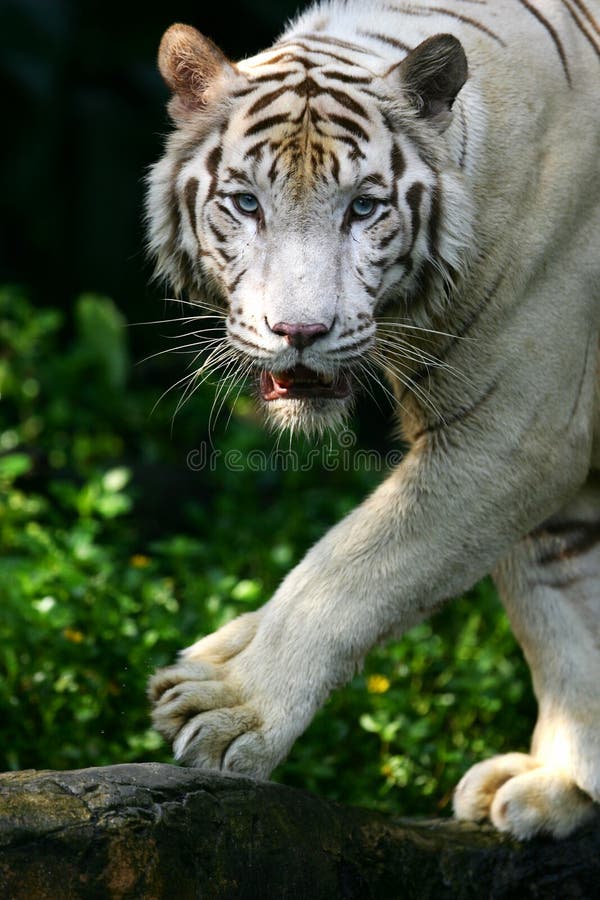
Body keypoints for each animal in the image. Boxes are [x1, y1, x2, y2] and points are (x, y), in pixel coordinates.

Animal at [146, 0, 600, 840]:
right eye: (247, 203)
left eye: (363, 207)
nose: (300, 331)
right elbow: (563, 614)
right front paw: (561, 784)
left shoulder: (514, 436)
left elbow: (353, 568)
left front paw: (229, 705)